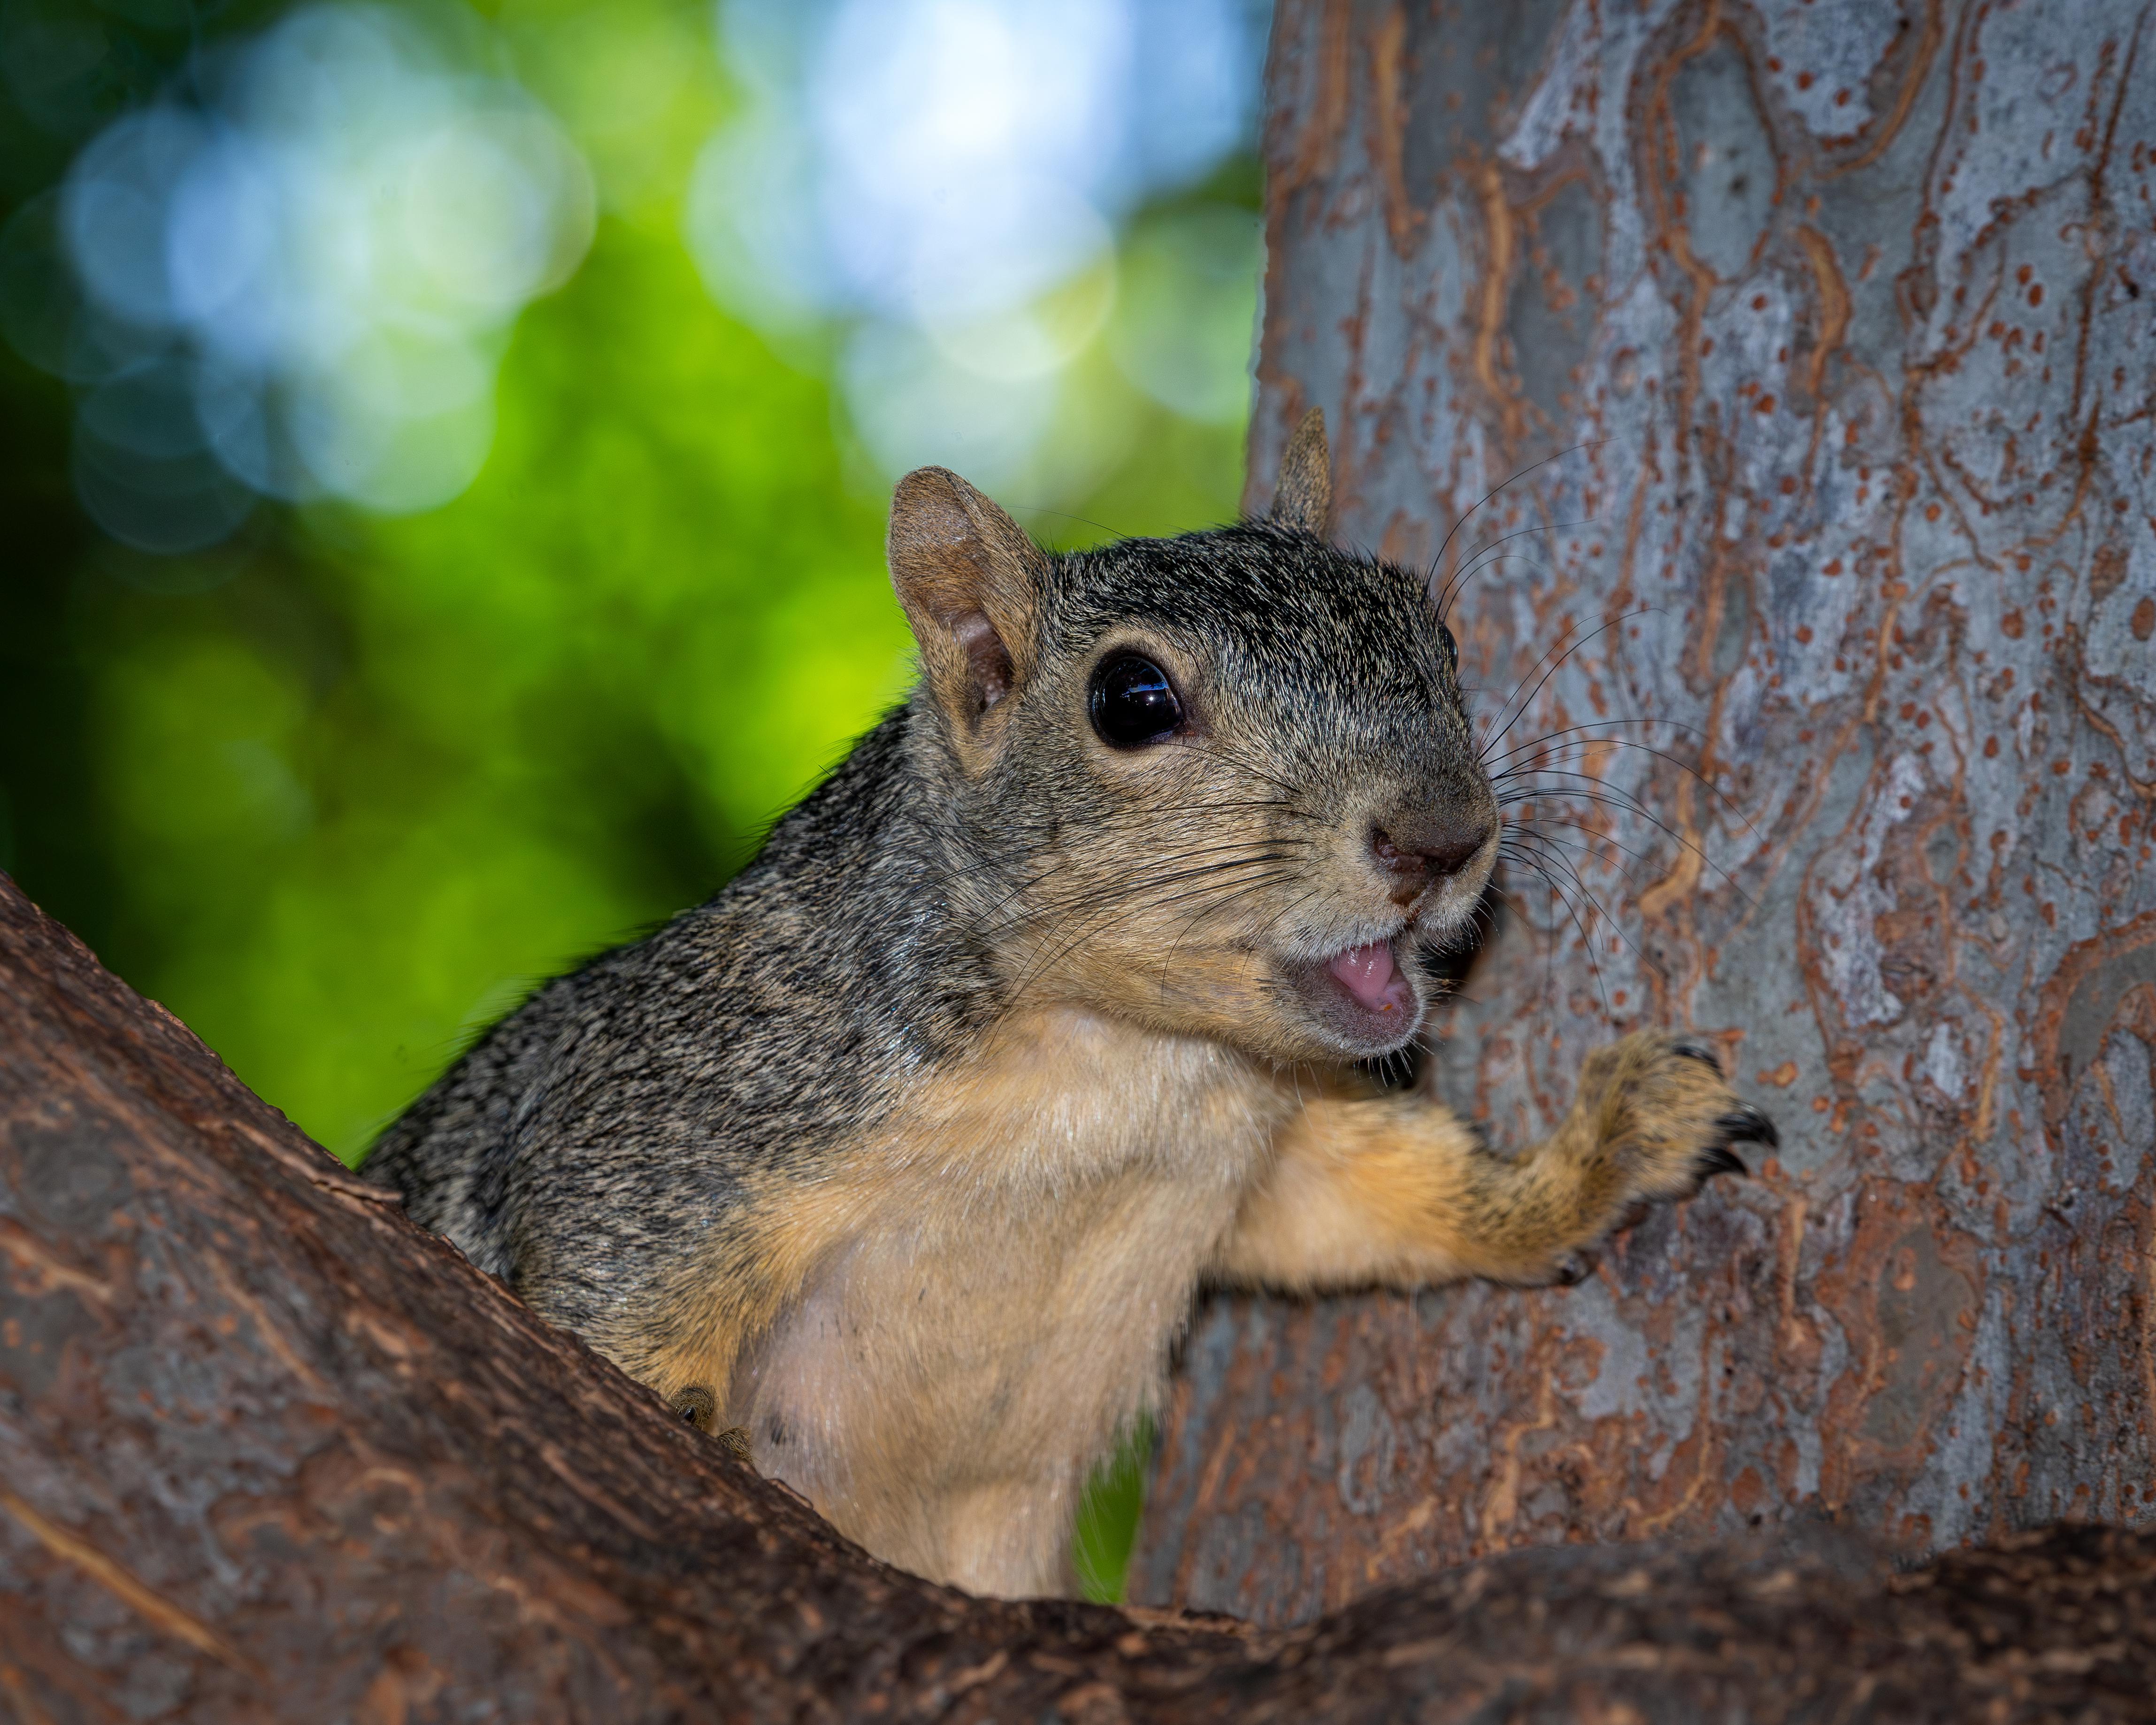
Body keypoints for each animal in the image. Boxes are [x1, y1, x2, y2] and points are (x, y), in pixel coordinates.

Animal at [364, 412, 1775, 1599]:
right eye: (1132, 700)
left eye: (1436, 637)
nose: (1445, 835)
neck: (1123, 1065)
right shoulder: (690, 1105)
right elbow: (607, 1284)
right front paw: (683, 1407)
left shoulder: (1262, 1157)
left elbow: (1388, 1196)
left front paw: (1593, 1161)